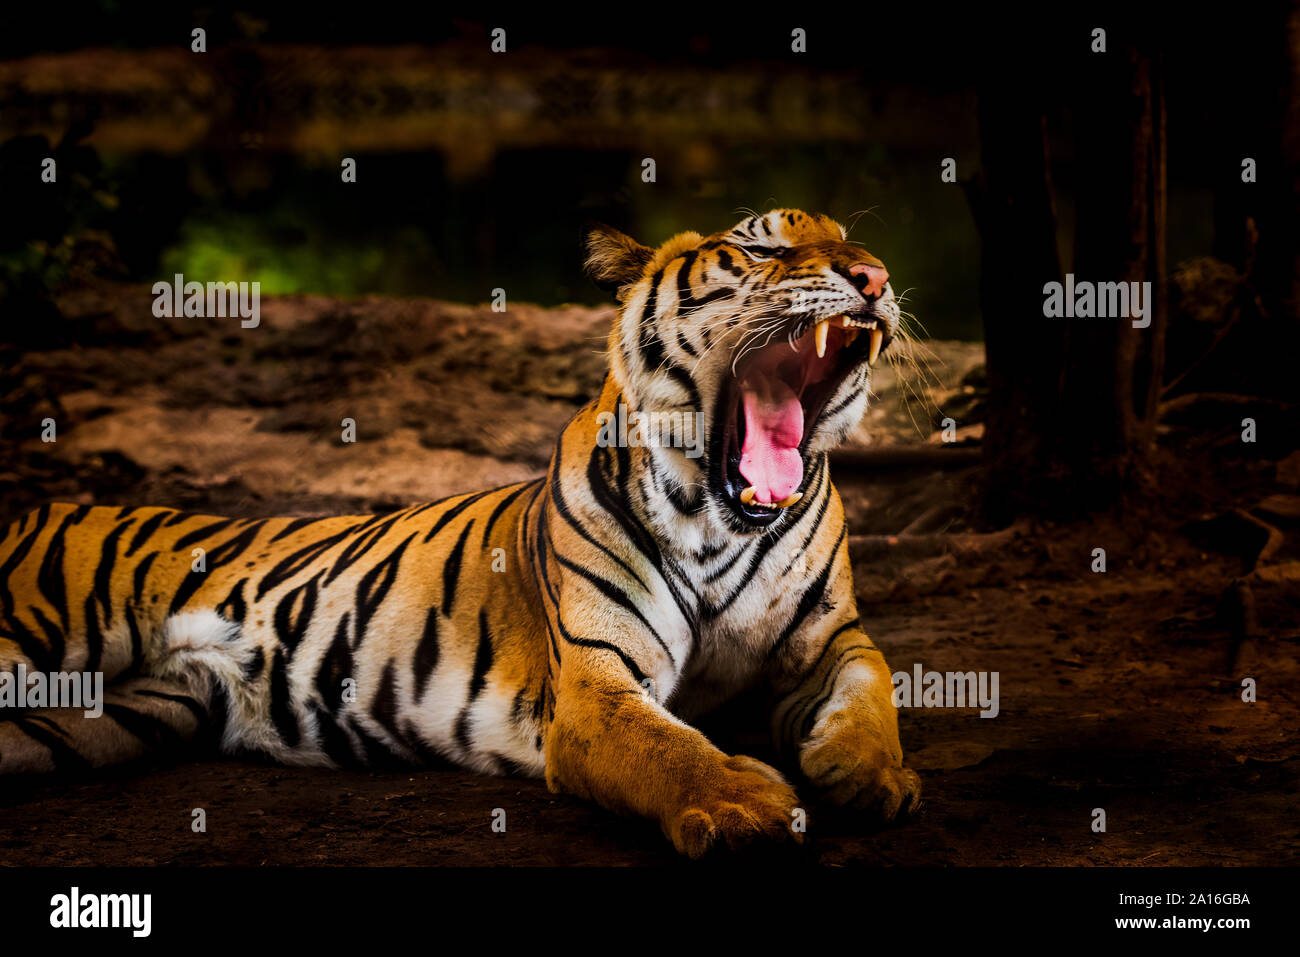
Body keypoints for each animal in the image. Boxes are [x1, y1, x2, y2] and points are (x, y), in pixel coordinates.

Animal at [0, 208, 920, 857]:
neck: (722, 523)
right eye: (760, 250)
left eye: (851, 239)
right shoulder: (597, 685)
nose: (875, 275)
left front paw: (868, 771)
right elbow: (673, 750)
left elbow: (873, 687)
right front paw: (748, 802)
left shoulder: (833, 637)